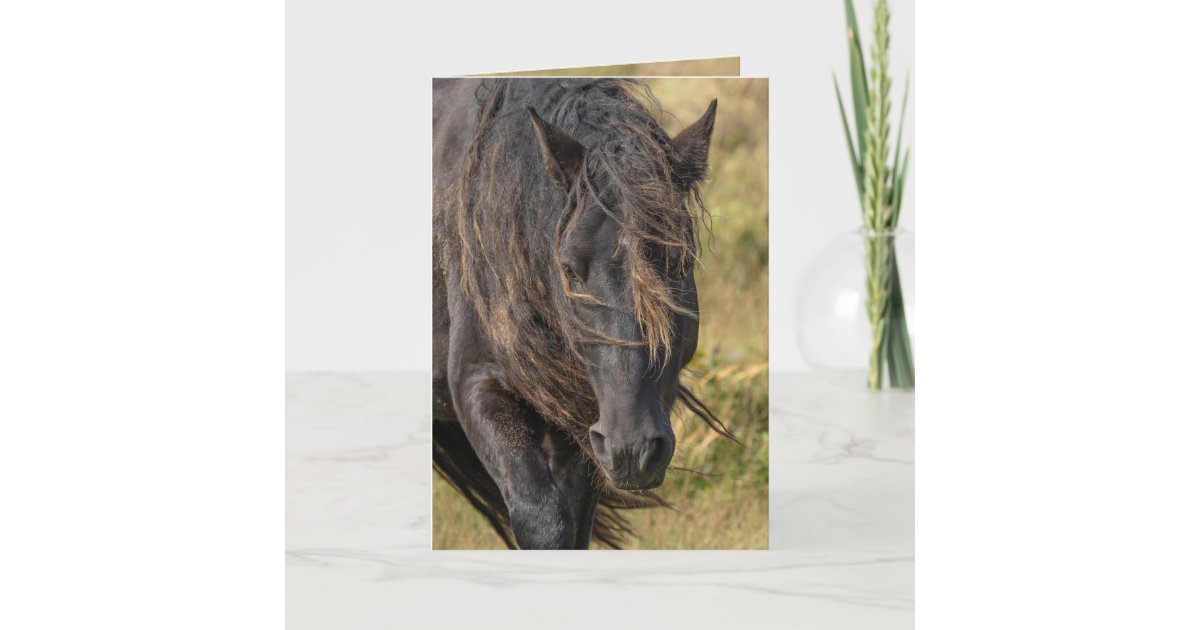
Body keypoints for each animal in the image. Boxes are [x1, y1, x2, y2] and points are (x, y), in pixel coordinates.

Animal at [432, 77, 731, 549]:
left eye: (681, 262)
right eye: (569, 268)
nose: (632, 451)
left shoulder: (580, 422)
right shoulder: (477, 385)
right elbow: (542, 520)